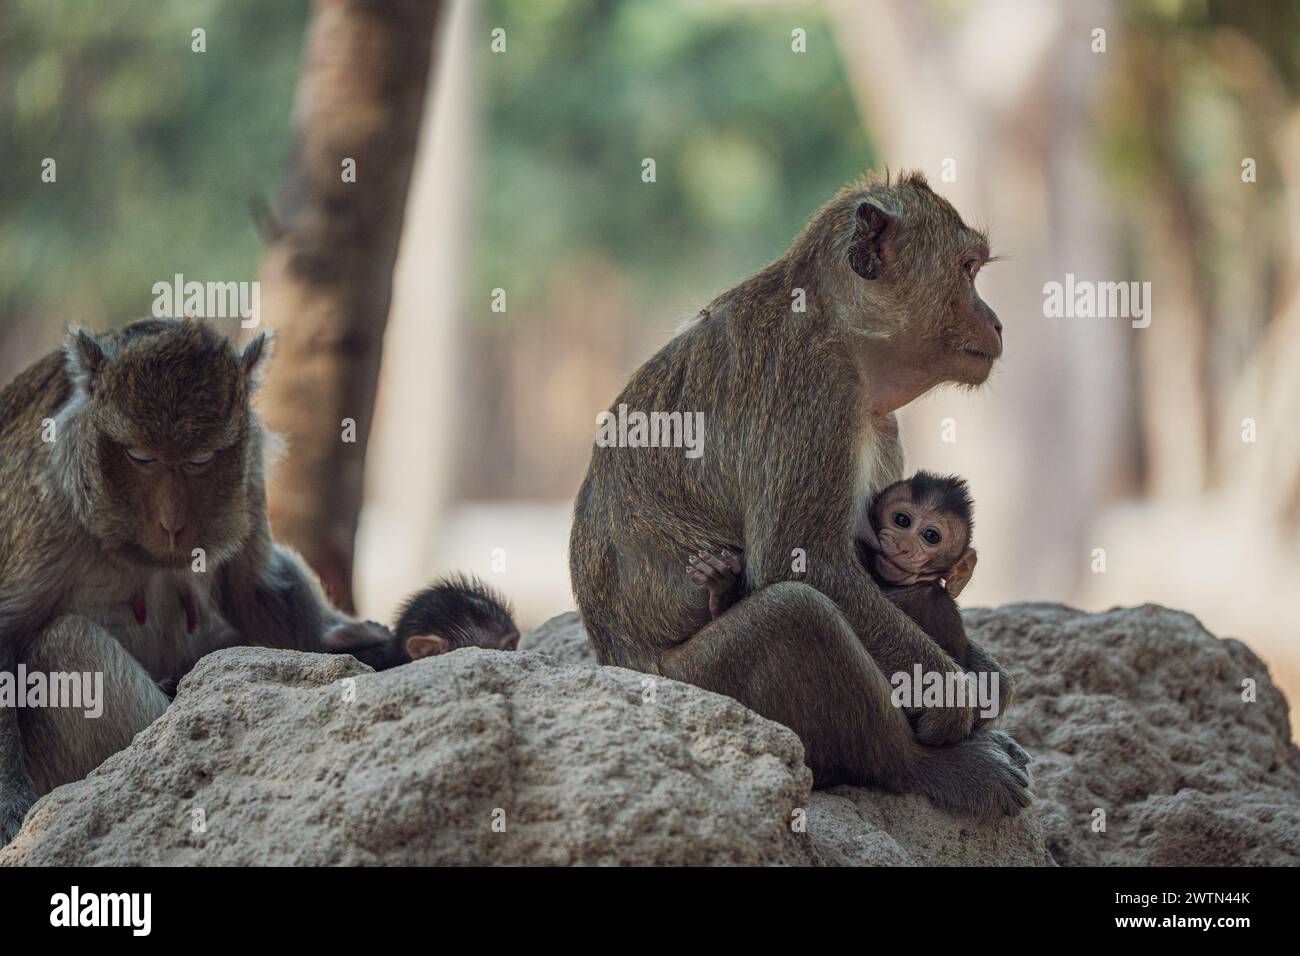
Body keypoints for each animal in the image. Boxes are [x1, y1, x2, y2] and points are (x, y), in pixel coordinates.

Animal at [0, 318, 513, 844]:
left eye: (201, 460)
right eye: (141, 457)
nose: (172, 524)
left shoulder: (246, 475)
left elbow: (258, 589)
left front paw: (346, 634)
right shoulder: (46, 496)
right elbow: (9, 631)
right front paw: (9, 806)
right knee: (64, 645)